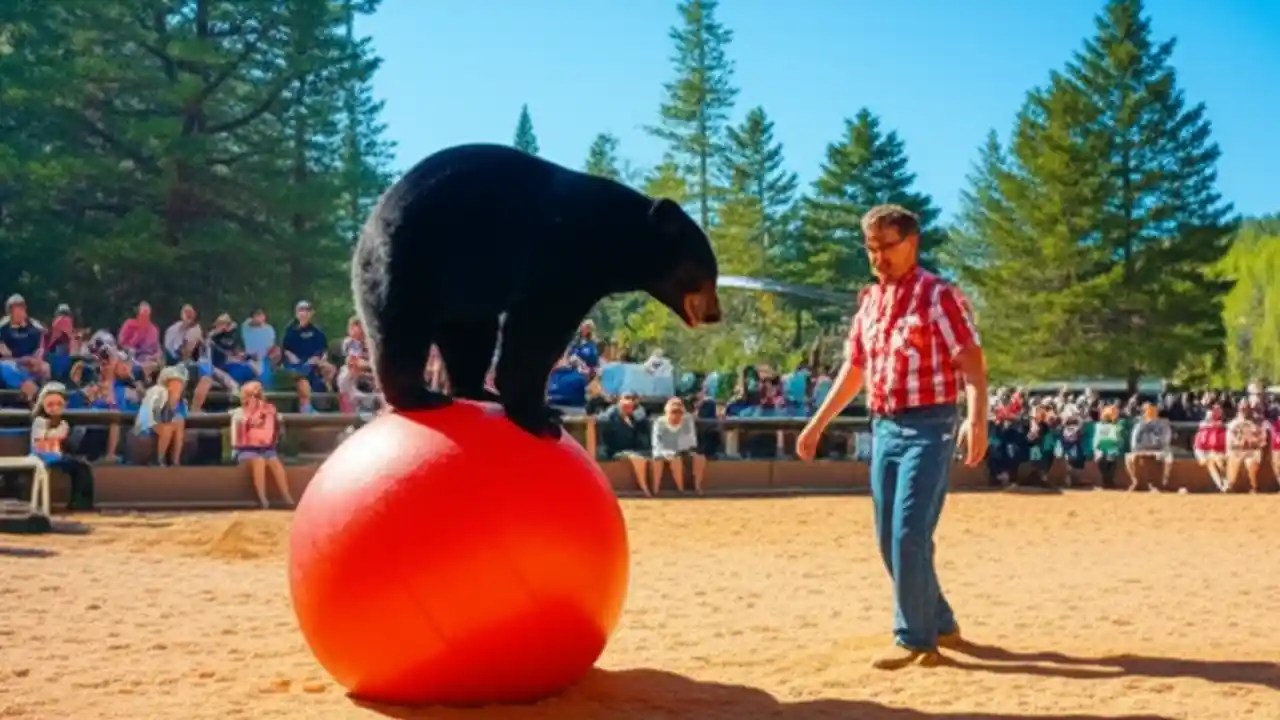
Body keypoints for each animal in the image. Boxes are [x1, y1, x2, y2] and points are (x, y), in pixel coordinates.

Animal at [351, 143, 722, 439]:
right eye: (708, 273)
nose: (715, 314)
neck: (612, 238)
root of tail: (365, 232)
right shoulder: (557, 257)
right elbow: (536, 330)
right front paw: (538, 416)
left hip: (464, 292)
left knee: (470, 337)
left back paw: (477, 390)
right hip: (411, 262)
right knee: (401, 328)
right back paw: (418, 395)